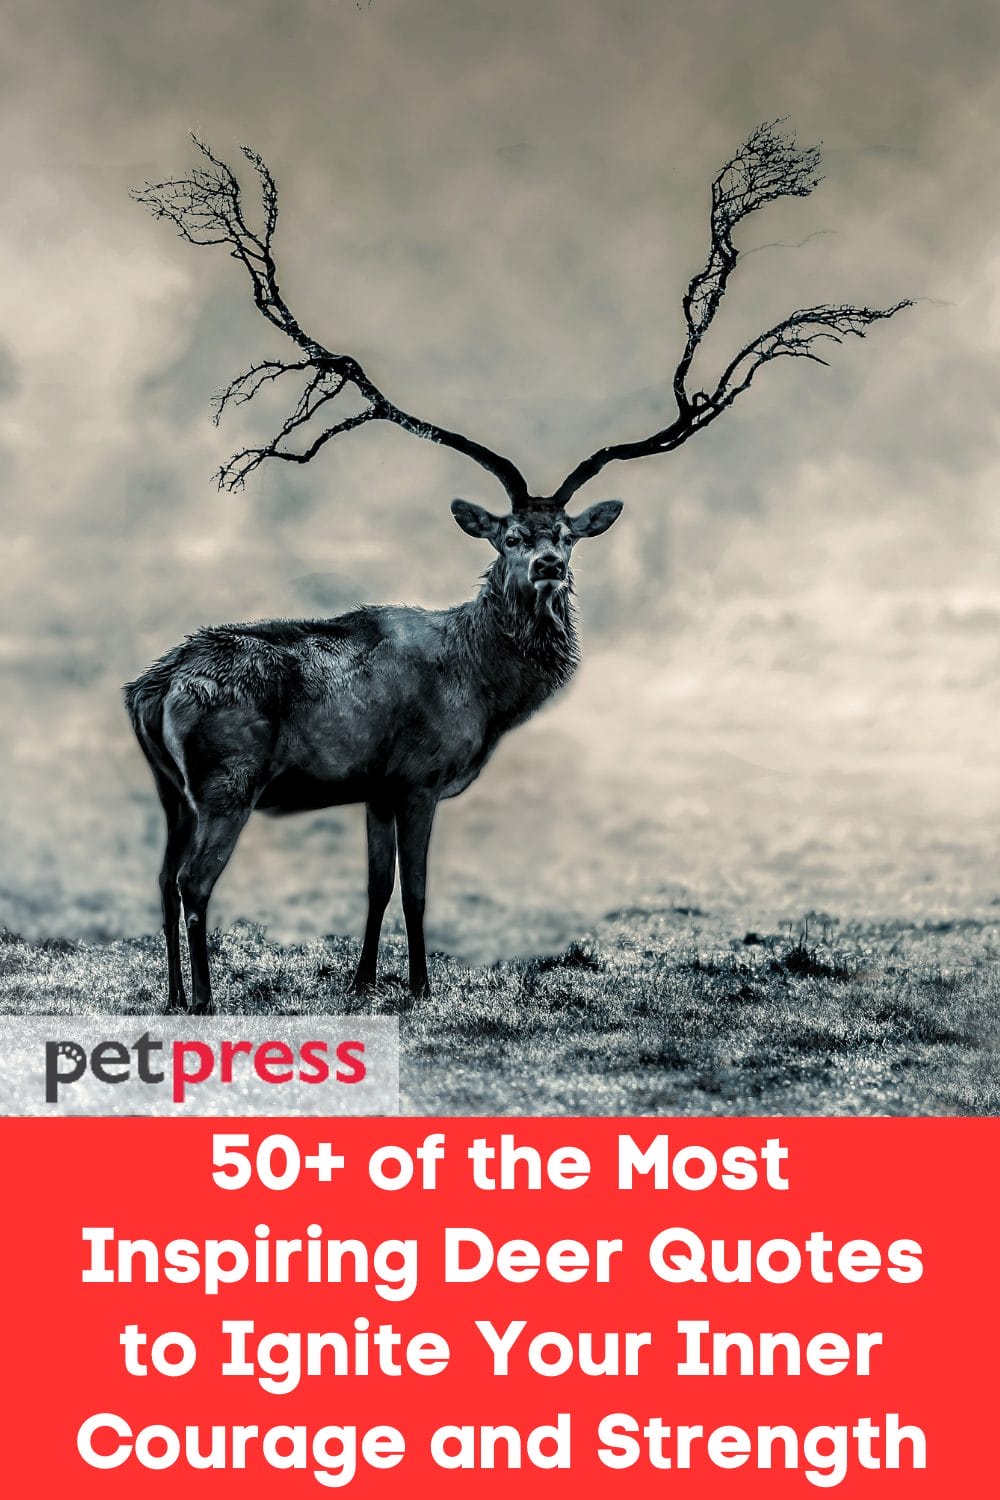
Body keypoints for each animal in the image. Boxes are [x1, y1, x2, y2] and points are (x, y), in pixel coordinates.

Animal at [127, 122, 909, 1013]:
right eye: (504, 535)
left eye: (568, 533)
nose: (544, 566)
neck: (485, 693)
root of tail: (152, 685)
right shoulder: (419, 774)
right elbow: (416, 891)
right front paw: (420, 987)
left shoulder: (375, 785)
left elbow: (375, 888)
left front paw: (363, 983)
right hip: (227, 778)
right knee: (193, 883)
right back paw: (202, 1000)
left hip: (170, 790)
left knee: (159, 880)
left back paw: (172, 995)